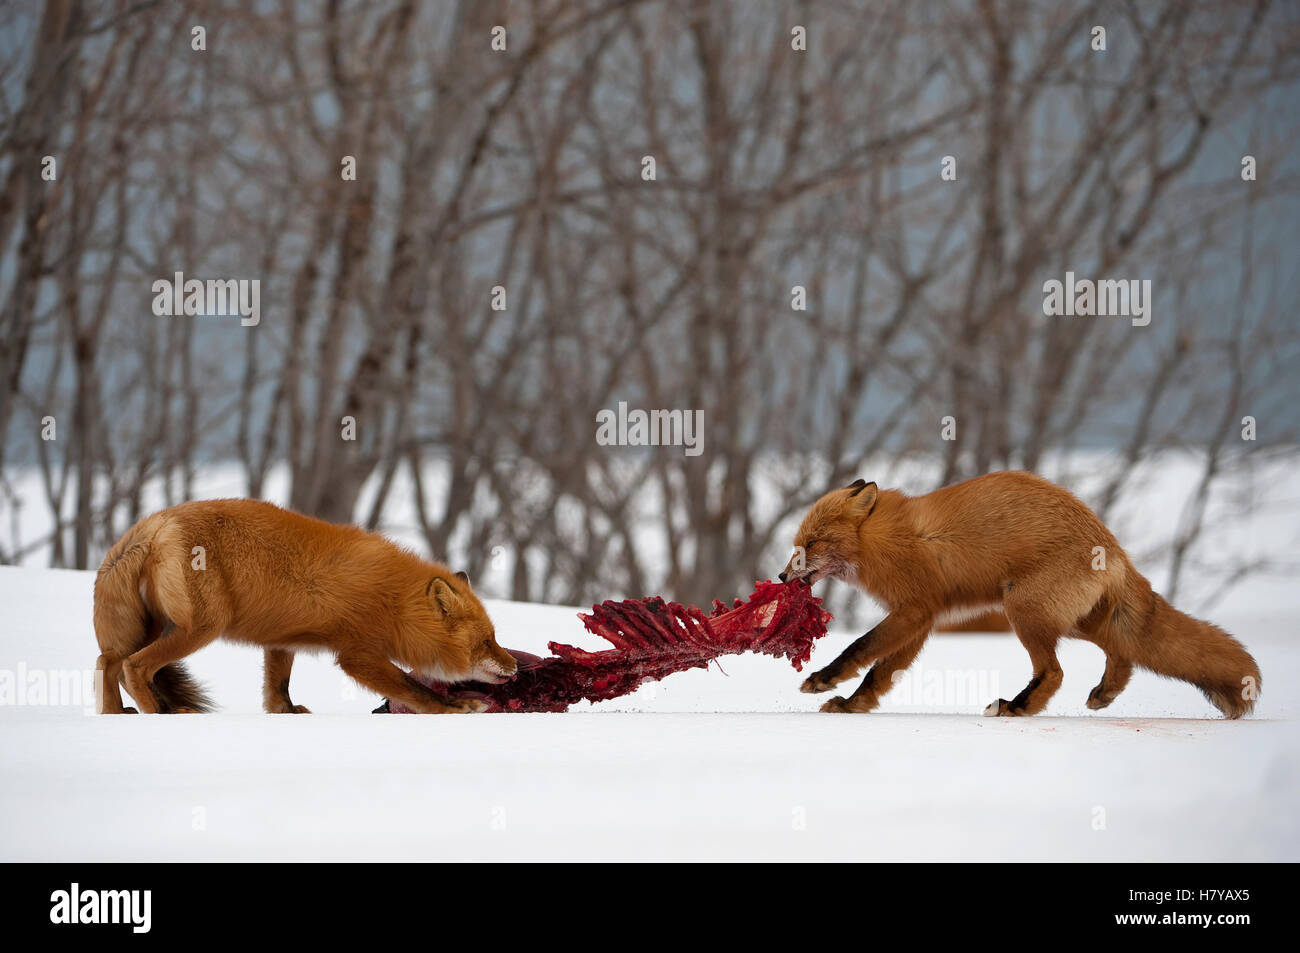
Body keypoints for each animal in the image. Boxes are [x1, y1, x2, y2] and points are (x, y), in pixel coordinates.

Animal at [93, 498, 518, 715]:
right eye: (486, 642)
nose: (514, 665)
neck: (395, 603)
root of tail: (154, 524)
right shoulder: (359, 655)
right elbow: (413, 688)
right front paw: (455, 708)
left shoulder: (282, 639)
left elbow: (277, 688)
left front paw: (285, 714)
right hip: (201, 627)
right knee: (134, 666)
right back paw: (158, 714)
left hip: (152, 626)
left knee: (107, 662)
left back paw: (116, 714)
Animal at [779, 471, 1261, 719]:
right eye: (797, 544)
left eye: (812, 543)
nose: (783, 576)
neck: (877, 539)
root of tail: (1112, 544)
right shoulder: (921, 618)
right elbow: (880, 672)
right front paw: (852, 704)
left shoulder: (913, 609)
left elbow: (861, 649)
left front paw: (826, 680)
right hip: (1072, 619)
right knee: (1122, 654)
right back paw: (1104, 693)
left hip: (1024, 611)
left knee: (1055, 673)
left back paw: (1017, 707)